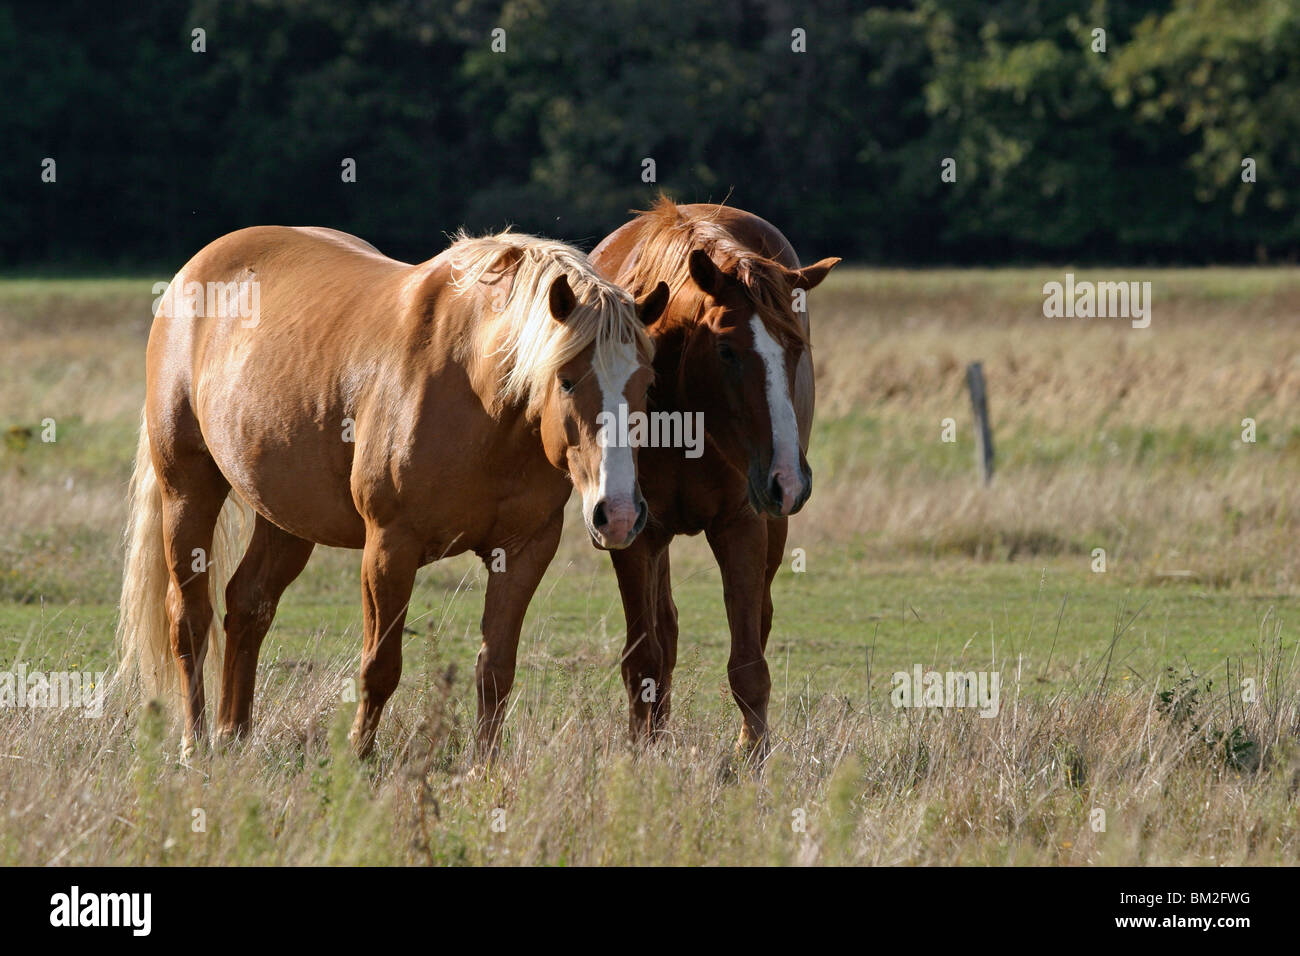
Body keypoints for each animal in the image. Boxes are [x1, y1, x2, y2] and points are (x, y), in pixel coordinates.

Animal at [117, 225, 669, 757]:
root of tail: (200, 266)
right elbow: (380, 668)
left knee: (248, 606)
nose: (619, 514)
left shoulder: (525, 550)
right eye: (568, 380)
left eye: (646, 384)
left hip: (286, 519)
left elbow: (496, 670)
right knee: (189, 619)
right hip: (187, 490)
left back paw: (234, 735)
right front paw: (358, 762)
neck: (479, 390)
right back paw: (196, 745)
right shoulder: (390, 547)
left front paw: (484, 772)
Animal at [590, 198, 840, 760]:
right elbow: (645, 658)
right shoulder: (635, 535)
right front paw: (644, 752)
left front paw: (752, 756)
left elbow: (749, 663)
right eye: (726, 349)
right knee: (664, 634)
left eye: (797, 348)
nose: (788, 479)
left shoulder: (741, 526)